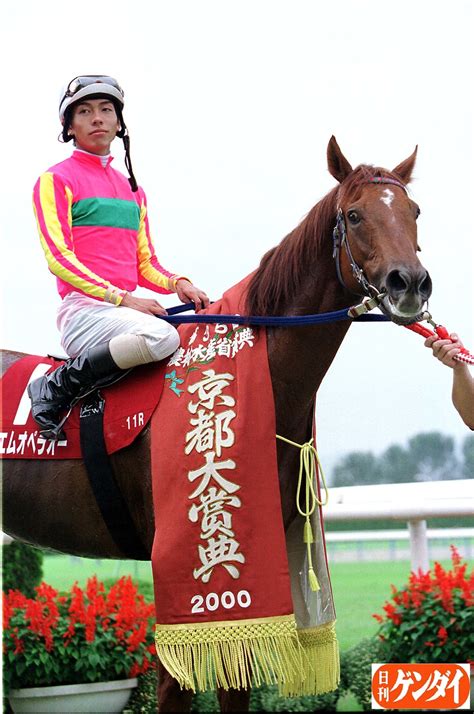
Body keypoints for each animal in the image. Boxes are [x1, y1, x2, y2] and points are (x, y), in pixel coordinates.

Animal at [1, 137, 432, 712]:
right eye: (354, 215)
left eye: (414, 211)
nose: (410, 283)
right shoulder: (179, 566)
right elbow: (173, 683)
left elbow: (236, 683)